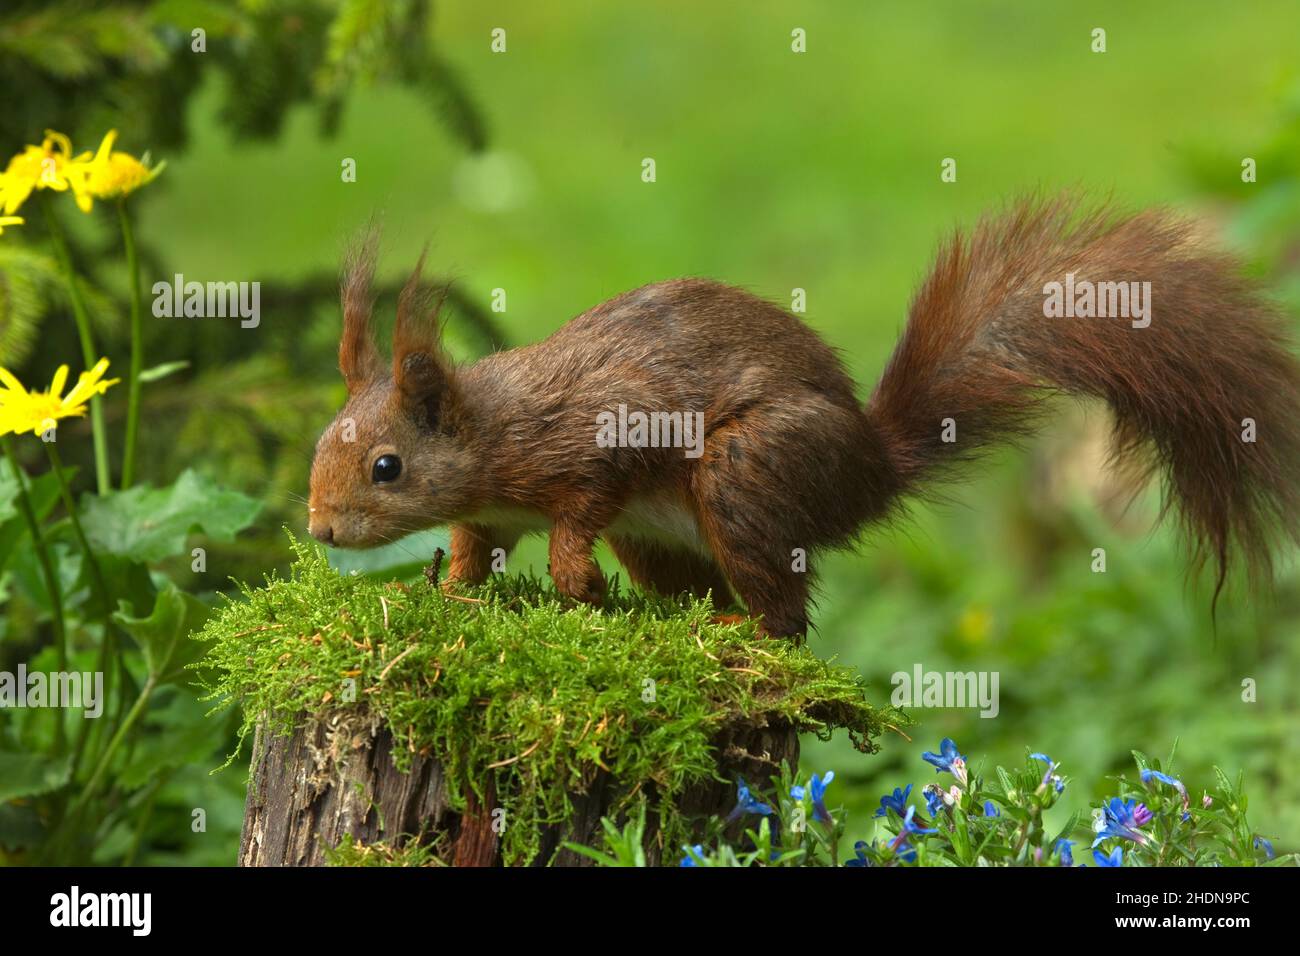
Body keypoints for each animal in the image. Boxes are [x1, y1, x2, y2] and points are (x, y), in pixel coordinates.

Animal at [308, 196, 1300, 637]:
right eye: (321, 446)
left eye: (387, 466)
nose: (318, 528)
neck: (493, 424)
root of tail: (872, 470)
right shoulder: (486, 512)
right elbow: (472, 547)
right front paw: (448, 594)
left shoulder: (602, 437)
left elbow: (579, 513)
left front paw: (571, 582)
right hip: (666, 533)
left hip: (748, 470)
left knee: (787, 615)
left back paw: (737, 632)